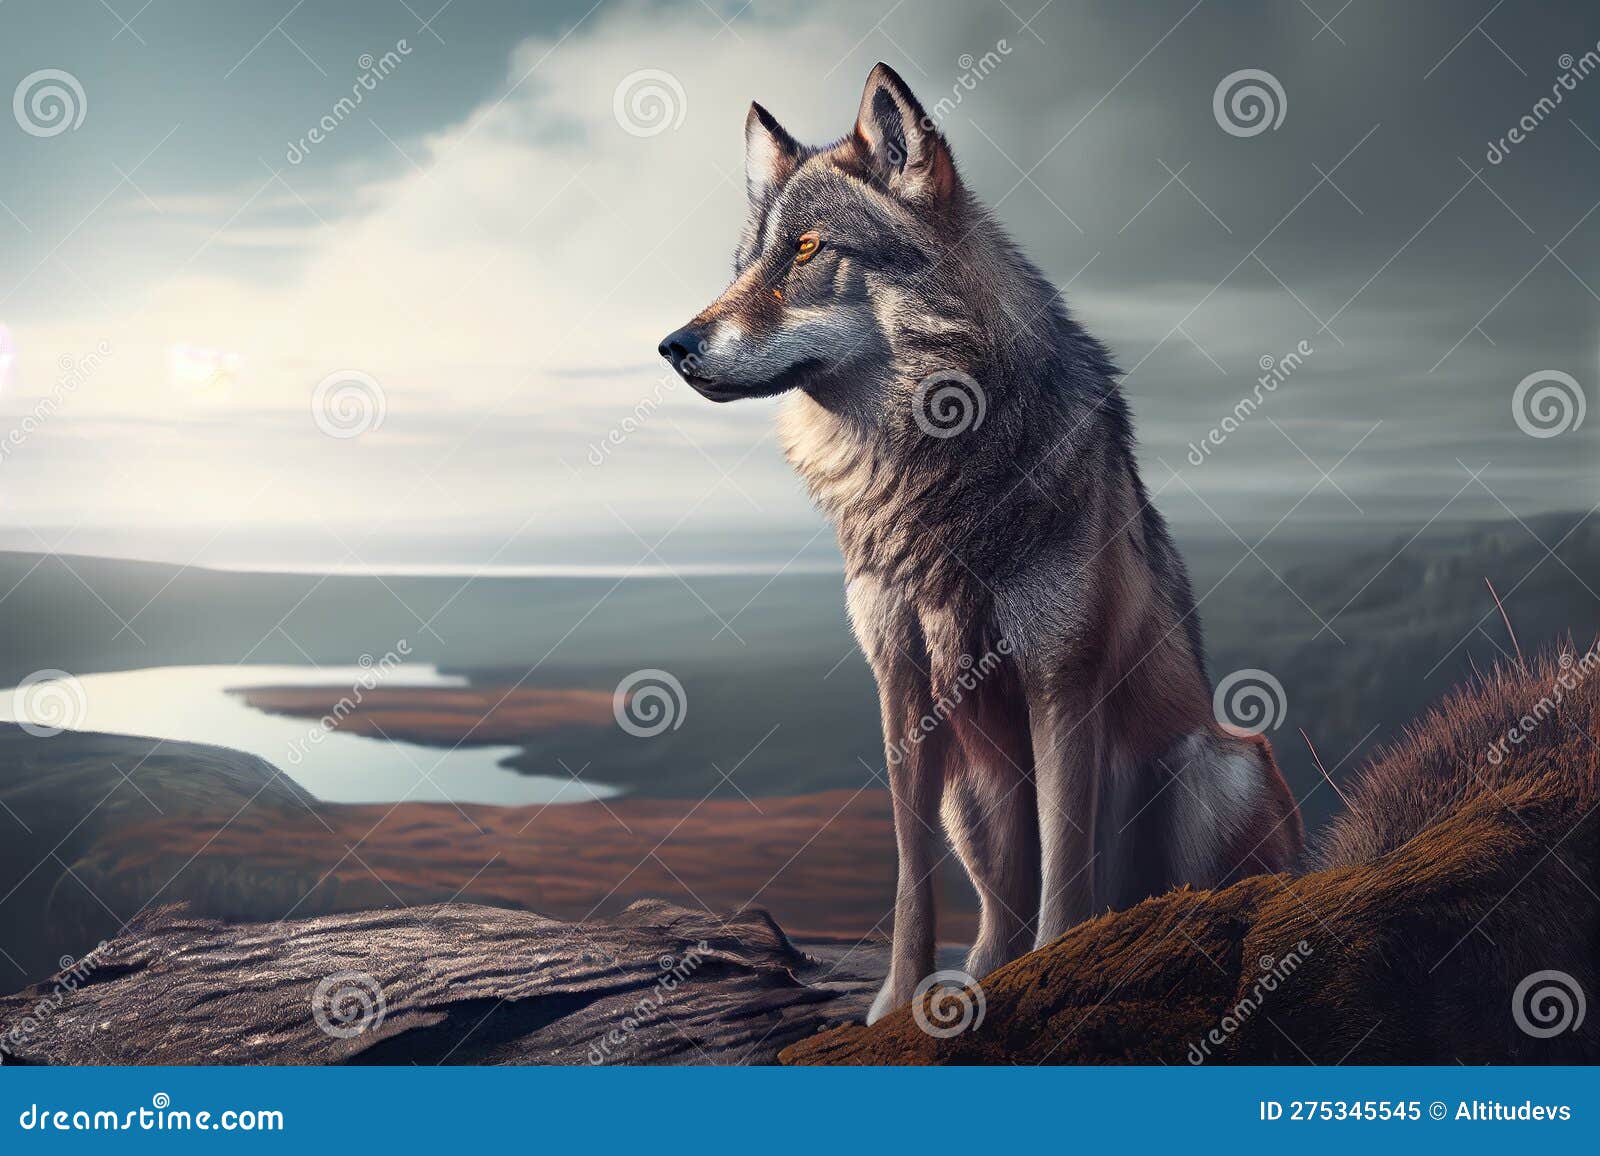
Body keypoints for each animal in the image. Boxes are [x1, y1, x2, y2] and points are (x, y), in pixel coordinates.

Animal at [659, 63, 1304, 1023]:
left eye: (807, 250)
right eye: (743, 269)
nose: (674, 345)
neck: (927, 482)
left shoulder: (1060, 679)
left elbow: (1065, 876)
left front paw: (1058, 975)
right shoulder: (900, 687)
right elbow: (909, 880)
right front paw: (896, 1002)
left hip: (1219, 765)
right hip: (975, 791)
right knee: (998, 912)